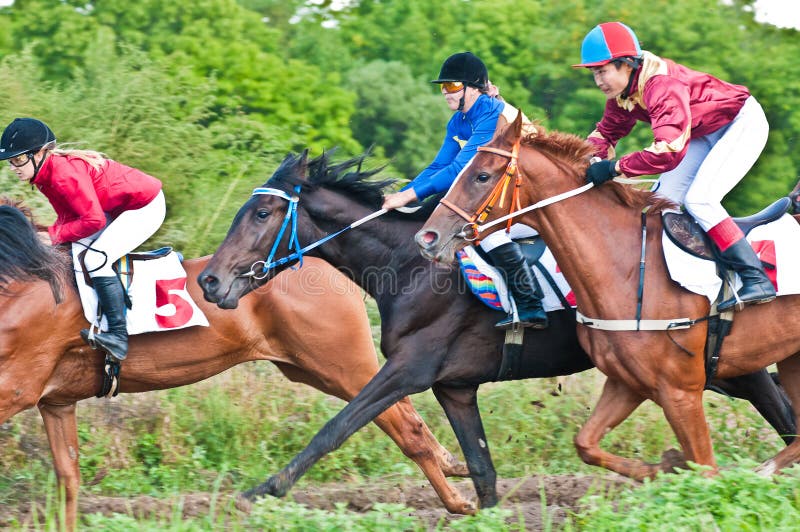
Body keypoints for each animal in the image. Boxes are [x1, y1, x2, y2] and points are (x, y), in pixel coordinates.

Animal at [0, 197, 471, 530]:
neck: (23, 284)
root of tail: (319, 261)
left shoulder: (17, 389)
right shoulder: (55, 402)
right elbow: (68, 480)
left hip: (342, 365)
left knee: (406, 427)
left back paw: (458, 500)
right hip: (318, 368)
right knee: (402, 414)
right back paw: (455, 465)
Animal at [197, 149, 794, 510]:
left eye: (262, 213)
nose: (208, 280)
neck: (411, 268)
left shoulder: (408, 370)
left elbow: (336, 427)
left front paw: (260, 491)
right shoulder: (454, 387)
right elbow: (483, 474)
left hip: (715, 369)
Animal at [416, 110, 800, 480]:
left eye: (481, 176)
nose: (428, 237)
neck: (625, 264)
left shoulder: (681, 392)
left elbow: (706, 471)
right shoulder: (626, 383)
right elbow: (586, 443)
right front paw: (663, 466)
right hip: (790, 358)